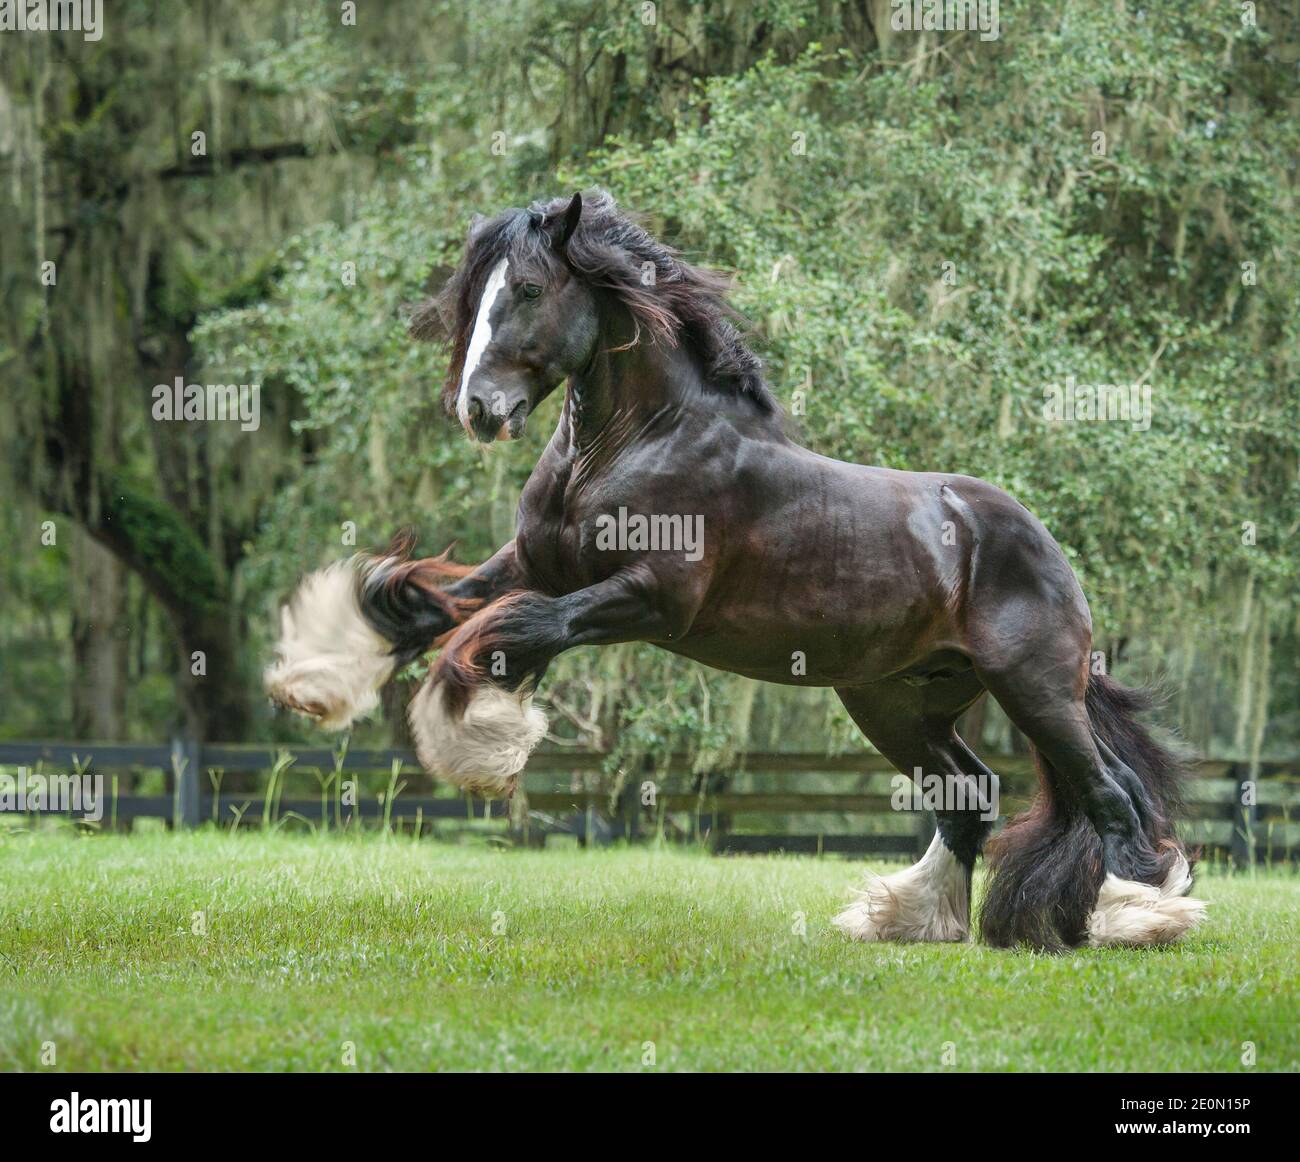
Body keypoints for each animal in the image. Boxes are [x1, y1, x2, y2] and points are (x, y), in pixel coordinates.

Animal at [265, 189, 1206, 951]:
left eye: (528, 290)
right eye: (476, 294)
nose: (479, 410)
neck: (629, 444)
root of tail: (1042, 544)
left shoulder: (650, 602)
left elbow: (513, 631)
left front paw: (473, 744)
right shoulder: (533, 562)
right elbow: (415, 602)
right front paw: (314, 680)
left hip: (1034, 687)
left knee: (1111, 796)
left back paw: (1138, 917)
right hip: (897, 701)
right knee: (969, 796)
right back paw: (908, 918)